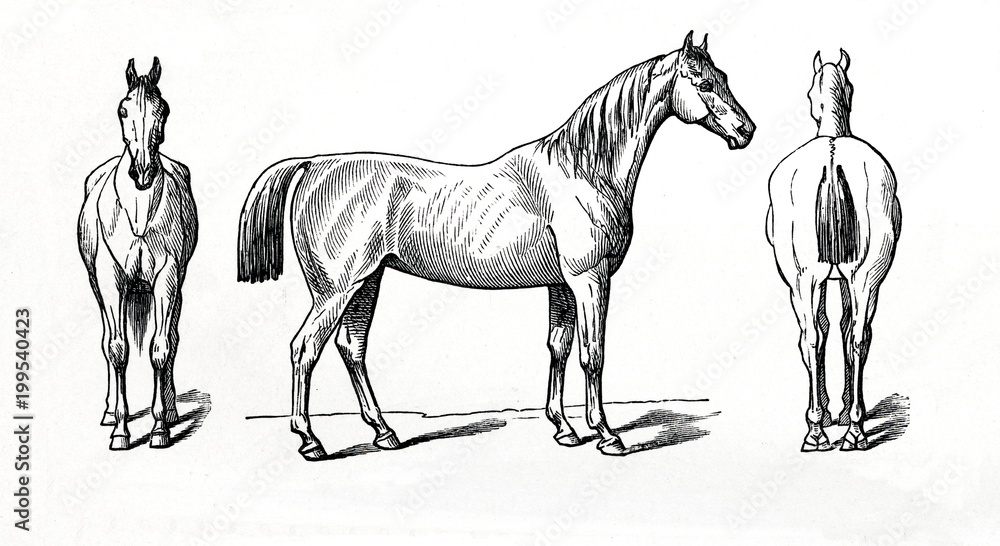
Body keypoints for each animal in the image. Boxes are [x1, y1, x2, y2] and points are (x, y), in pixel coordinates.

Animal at [77, 57, 199, 450]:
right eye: (123, 110)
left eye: (165, 109)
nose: (142, 172)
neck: (139, 208)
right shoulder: (110, 281)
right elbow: (118, 349)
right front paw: (120, 429)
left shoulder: (168, 278)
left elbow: (161, 348)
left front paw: (160, 428)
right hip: (99, 289)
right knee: (108, 342)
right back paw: (110, 411)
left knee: (171, 341)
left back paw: (171, 411)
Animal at [238, 31, 755, 460]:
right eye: (703, 82)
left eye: (724, 78)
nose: (746, 131)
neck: (583, 171)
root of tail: (311, 165)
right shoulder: (590, 279)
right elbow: (593, 354)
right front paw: (607, 435)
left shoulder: (562, 285)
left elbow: (558, 346)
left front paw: (564, 428)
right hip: (336, 289)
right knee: (305, 349)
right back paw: (311, 440)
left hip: (366, 283)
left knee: (353, 349)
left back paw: (385, 433)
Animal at [765, 50, 902, 452]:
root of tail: (832, 155)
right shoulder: (841, 277)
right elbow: (839, 328)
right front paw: (838, 412)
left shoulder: (820, 279)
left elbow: (827, 330)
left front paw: (830, 413)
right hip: (861, 276)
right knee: (853, 335)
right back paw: (852, 429)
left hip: (805, 279)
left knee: (813, 337)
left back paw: (818, 431)